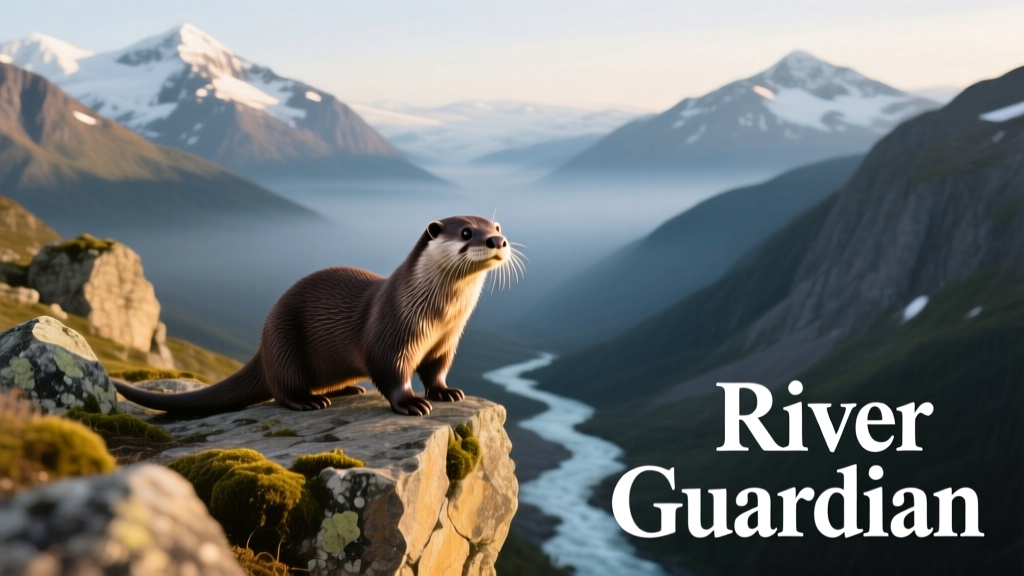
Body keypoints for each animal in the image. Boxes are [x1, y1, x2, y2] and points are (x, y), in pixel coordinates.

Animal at [113, 216, 522, 416]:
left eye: (497, 227)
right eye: (466, 232)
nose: (497, 241)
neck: (437, 316)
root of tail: (263, 347)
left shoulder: (446, 342)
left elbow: (436, 370)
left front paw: (445, 392)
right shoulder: (390, 334)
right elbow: (391, 372)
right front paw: (411, 403)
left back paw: (347, 389)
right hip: (284, 344)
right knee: (282, 391)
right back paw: (309, 402)